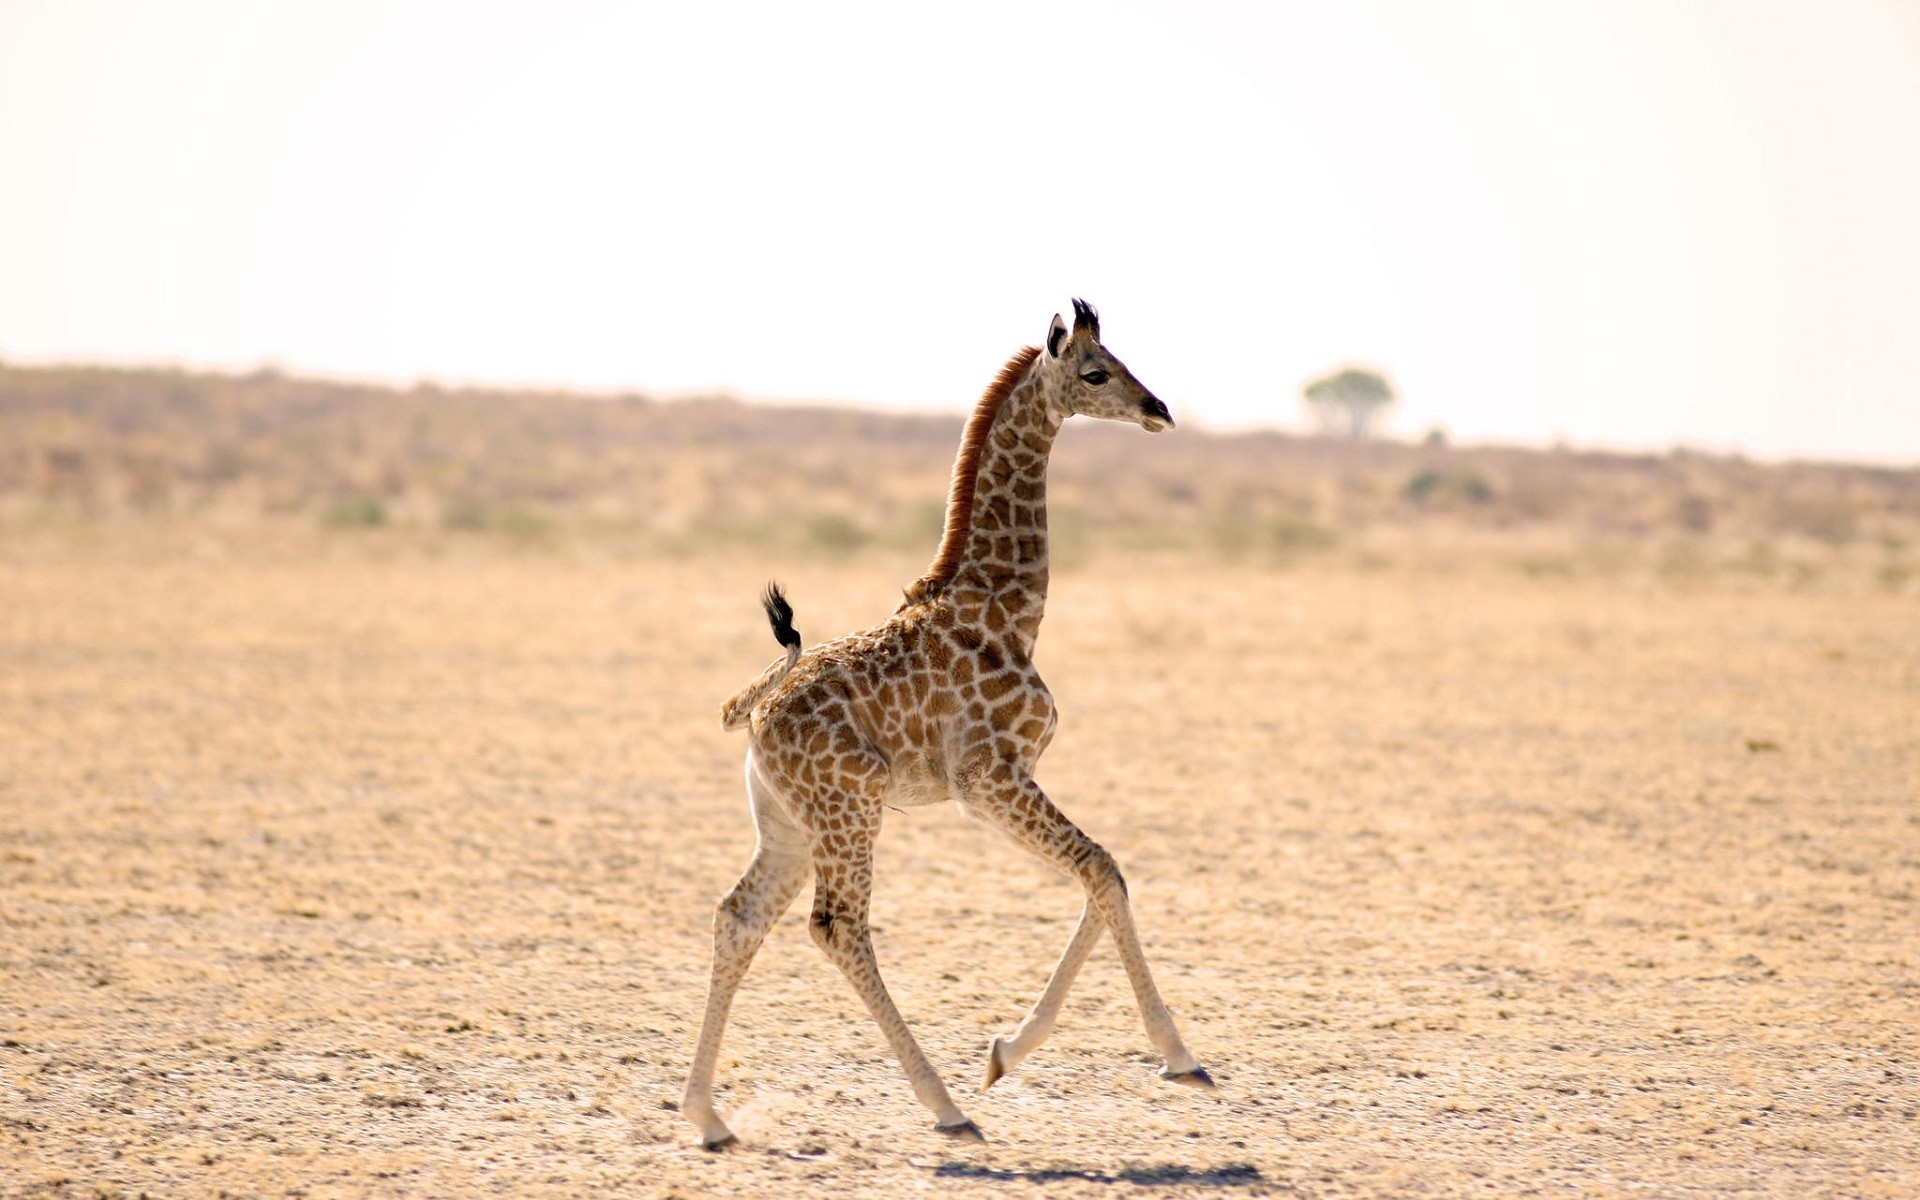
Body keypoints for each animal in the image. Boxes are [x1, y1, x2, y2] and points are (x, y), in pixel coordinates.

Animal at [681, 300, 1212, 1149]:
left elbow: (1101, 875)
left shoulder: (996, 786)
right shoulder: (989, 777)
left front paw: (1007, 1052)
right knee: (839, 928)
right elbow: (1101, 869)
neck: (1008, 611)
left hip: (789, 823)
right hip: (851, 808)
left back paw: (707, 1115)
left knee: (739, 917)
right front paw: (1177, 1056)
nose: (1158, 408)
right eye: (1097, 372)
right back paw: (946, 1106)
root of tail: (753, 713)